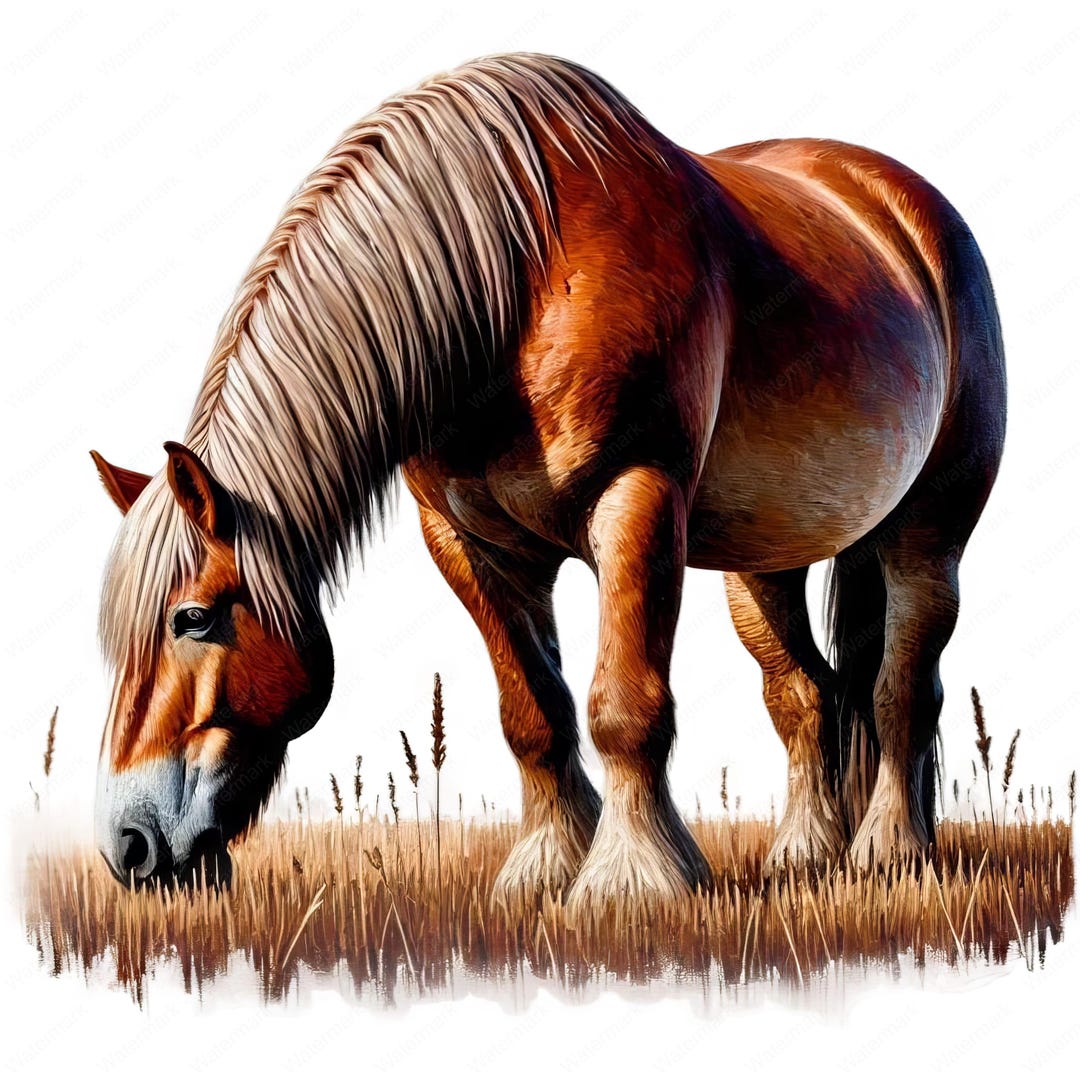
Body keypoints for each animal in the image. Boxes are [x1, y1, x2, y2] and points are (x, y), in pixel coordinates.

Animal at [91, 53, 1005, 908]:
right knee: (805, 694)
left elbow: (624, 705)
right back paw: (806, 855)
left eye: (192, 619)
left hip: (928, 535)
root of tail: (897, 203)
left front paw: (632, 879)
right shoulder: (471, 541)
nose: (129, 846)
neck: (509, 286)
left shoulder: (636, 500)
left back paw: (891, 850)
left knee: (901, 690)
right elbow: (533, 713)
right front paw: (544, 867)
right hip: (766, 557)